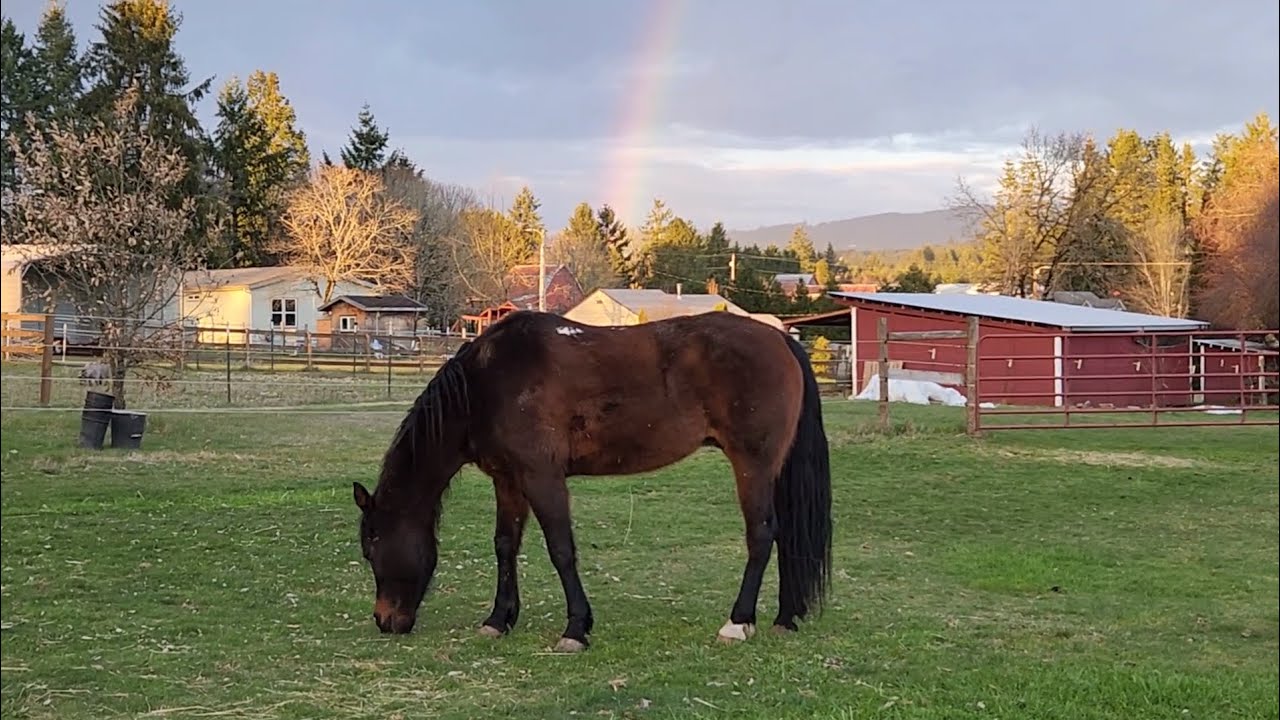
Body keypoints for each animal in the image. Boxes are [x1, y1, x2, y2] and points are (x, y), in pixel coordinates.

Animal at [351, 309, 832, 652]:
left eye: (372, 547)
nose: (384, 620)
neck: (487, 383)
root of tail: (781, 338)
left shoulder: (542, 477)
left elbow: (561, 550)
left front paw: (576, 629)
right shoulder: (508, 481)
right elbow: (505, 546)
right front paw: (498, 620)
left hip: (753, 465)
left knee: (761, 535)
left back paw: (738, 622)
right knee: (784, 536)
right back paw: (785, 618)